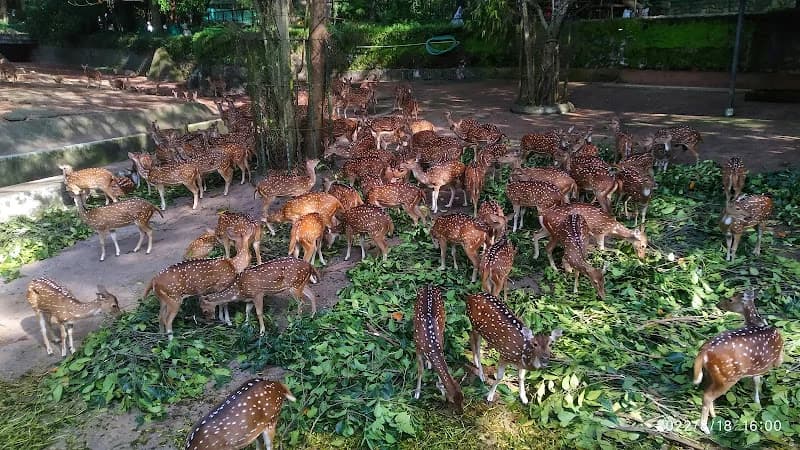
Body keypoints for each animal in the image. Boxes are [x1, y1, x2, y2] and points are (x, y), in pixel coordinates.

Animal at [412, 285, 464, 413]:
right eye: (452, 400)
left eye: (463, 397)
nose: (461, 412)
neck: (431, 346)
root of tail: (429, 285)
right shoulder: (417, 347)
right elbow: (420, 370)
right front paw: (417, 393)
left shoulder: (441, 342)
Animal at [693, 289, 783, 434]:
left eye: (730, 299)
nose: (718, 304)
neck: (758, 324)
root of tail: (703, 351)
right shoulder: (774, 359)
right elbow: (759, 380)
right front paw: (758, 403)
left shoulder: (756, 366)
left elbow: (756, 381)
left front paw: (756, 402)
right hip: (728, 376)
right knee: (707, 396)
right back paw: (705, 428)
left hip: (712, 374)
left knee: (706, 392)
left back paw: (714, 415)